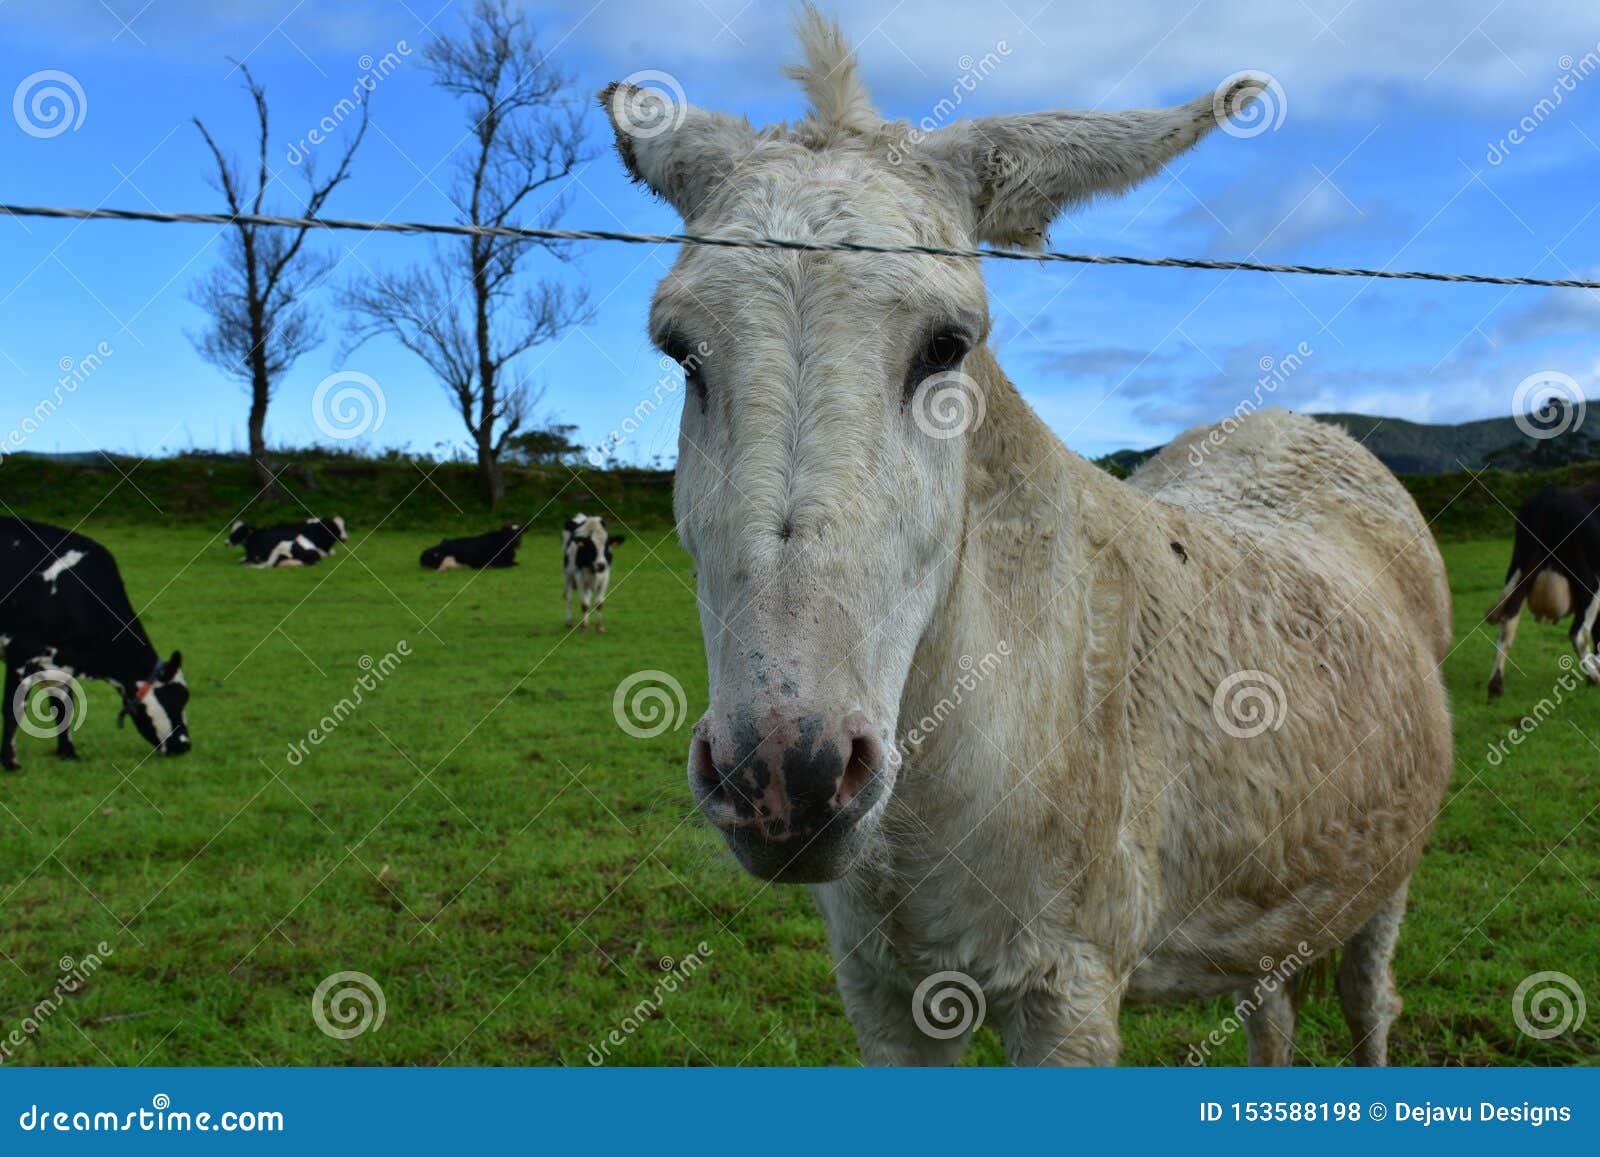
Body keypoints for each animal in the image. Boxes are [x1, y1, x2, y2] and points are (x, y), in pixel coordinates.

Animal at [1, 517, 191, 769]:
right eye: (175, 697)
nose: (185, 745)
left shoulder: (60, 662)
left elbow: (63, 706)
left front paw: (68, 753)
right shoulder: (20, 652)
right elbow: (12, 708)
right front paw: (10, 762)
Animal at [603, 8, 1454, 1066]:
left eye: (947, 346)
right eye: (682, 353)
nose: (785, 781)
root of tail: (1303, 425)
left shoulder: (1067, 986)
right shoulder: (884, 990)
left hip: (1387, 869)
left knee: (1368, 1000)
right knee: (1273, 1005)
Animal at [1485, 479, 1600, 699]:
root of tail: (1548, 496)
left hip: (1522, 568)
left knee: (1507, 624)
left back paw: (1496, 684)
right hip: (1589, 580)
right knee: (1579, 633)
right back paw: (1595, 676)